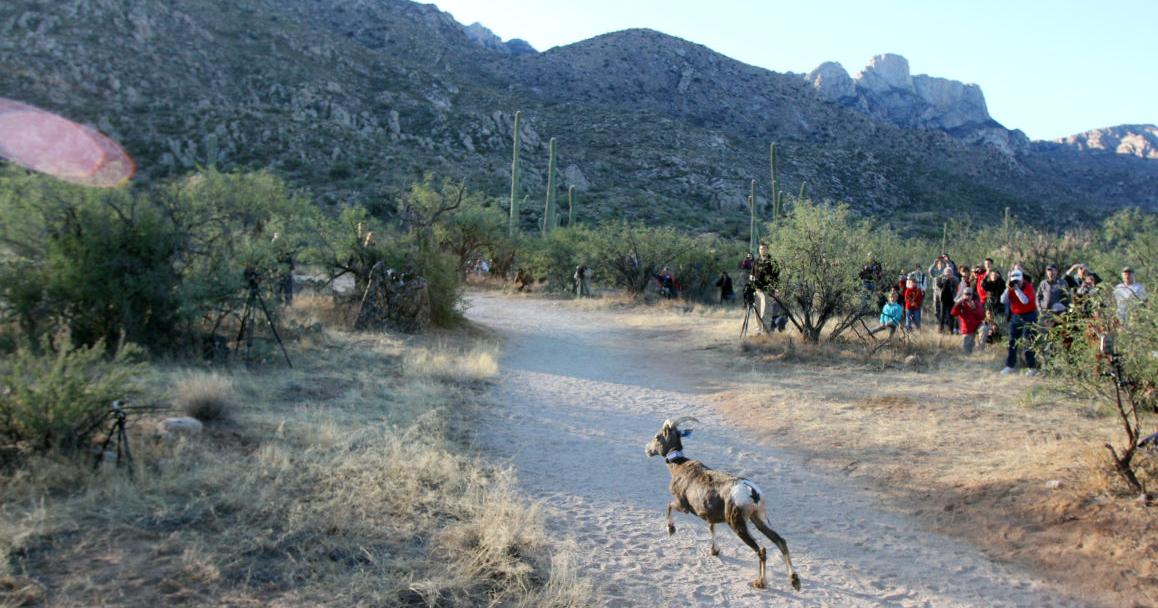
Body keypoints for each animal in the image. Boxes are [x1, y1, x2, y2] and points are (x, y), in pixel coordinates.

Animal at [645, 416, 800, 591]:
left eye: (658, 436)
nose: (647, 449)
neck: (678, 466)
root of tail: (752, 492)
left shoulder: (682, 505)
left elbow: (669, 506)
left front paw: (671, 530)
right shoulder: (709, 513)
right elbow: (712, 527)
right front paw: (715, 551)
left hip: (737, 522)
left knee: (761, 549)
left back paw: (760, 582)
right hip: (759, 517)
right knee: (780, 541)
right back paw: (795, 581)